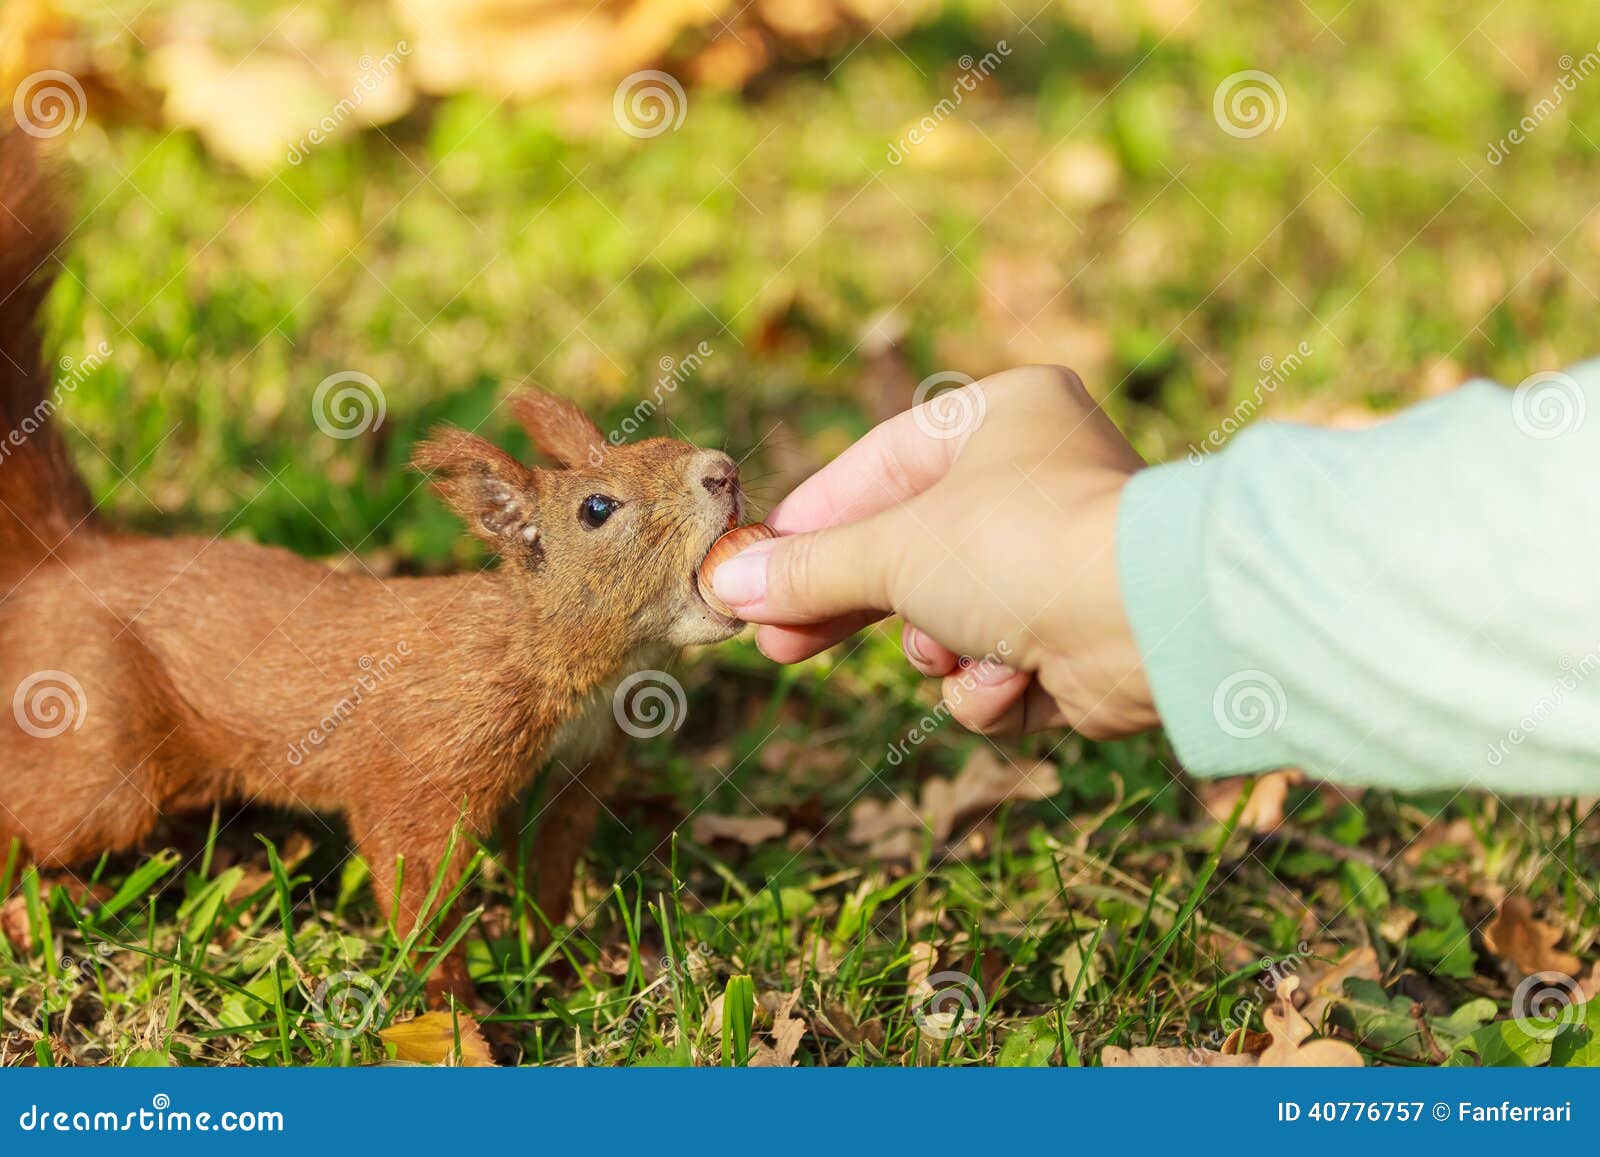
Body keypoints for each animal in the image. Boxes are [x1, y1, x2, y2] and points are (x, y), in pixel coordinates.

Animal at [0, 128, 748, 1007]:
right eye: (597, 509)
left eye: (668, 441)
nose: (723, 472)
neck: (563, 658)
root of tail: (70, 559)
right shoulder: (429, 757)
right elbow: (416, 875)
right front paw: (460, 1015)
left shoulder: (579, 765)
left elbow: (551, 866)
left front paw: (558, 957)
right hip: (94, 743)